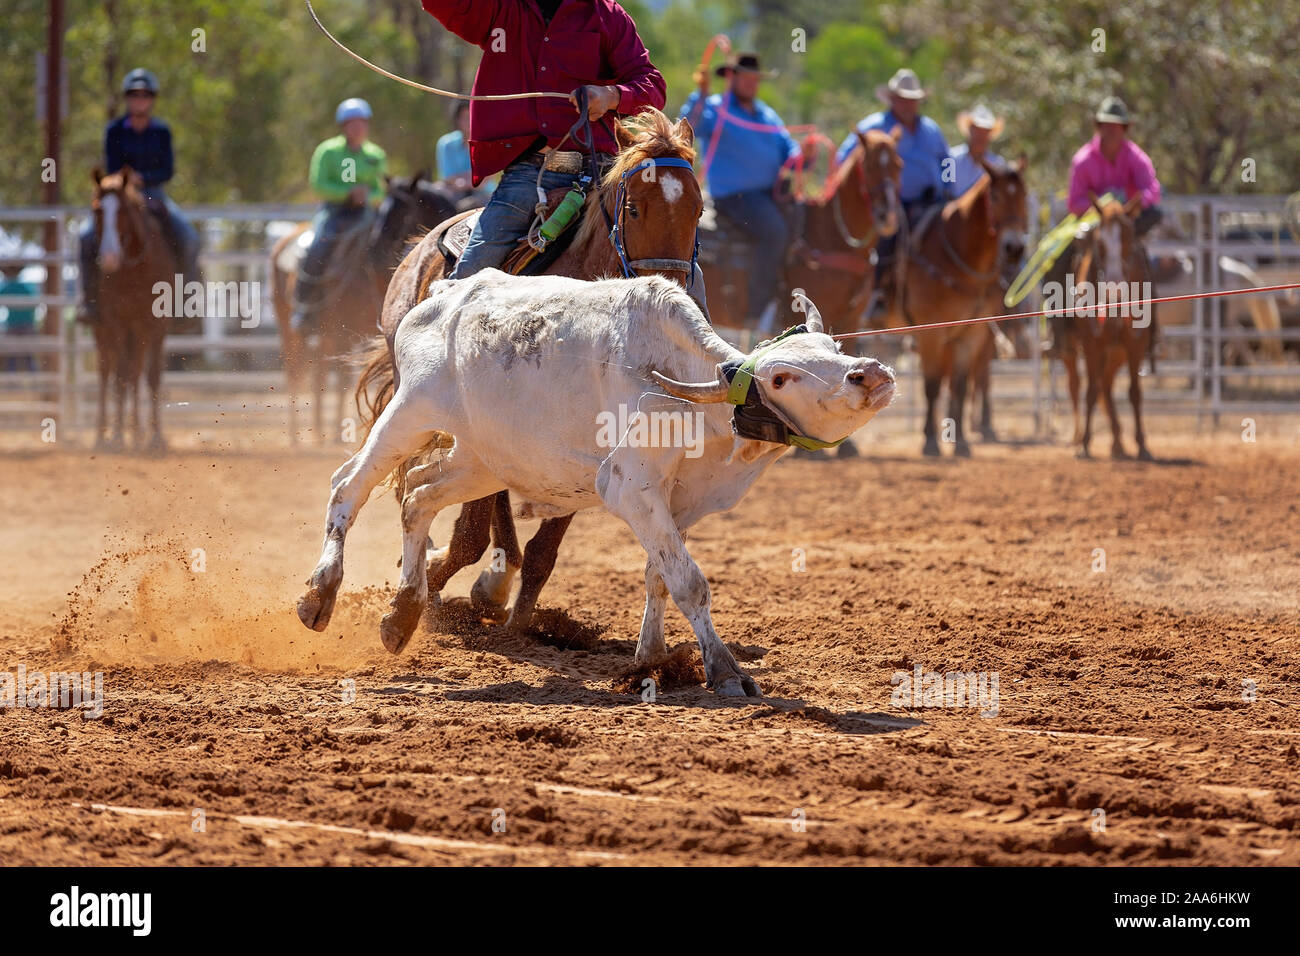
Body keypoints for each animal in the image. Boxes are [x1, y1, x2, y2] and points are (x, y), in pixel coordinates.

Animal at [296, 270, 896, 696]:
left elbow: (660, 576)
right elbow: (689, 582)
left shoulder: (680, 502)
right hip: (409, 413)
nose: (870, 373)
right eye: (780, 377)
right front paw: (724, 671)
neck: (682, 392)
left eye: (835, 348)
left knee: (419, 495)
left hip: (484, 459)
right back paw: (320, 595)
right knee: (348, 485)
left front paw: (652, 659)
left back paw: (402, 614)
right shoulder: (633, 490)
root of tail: (441, 296)